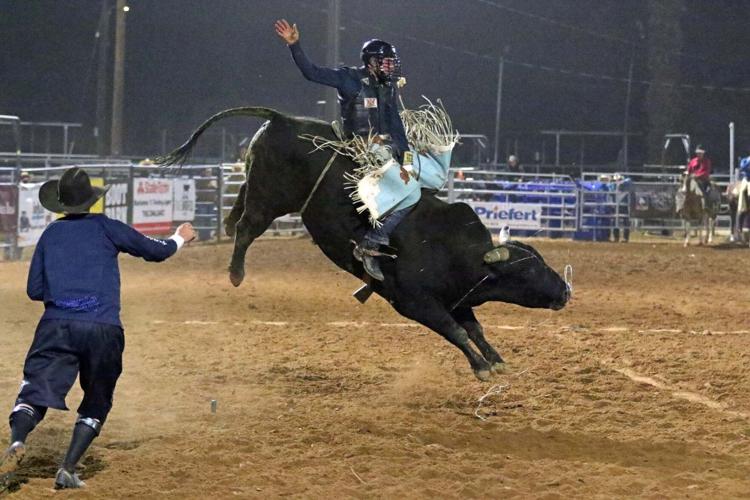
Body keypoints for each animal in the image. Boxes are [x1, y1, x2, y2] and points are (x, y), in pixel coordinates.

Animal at [158, 107, 570, 380]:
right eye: (528, 270)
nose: (566, 290)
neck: (454, 251)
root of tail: (283, 119)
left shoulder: (458, 298)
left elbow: (474, 329)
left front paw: (496, 359)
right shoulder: (414, 303)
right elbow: (453, 330)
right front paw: (482, 367)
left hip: (265, 187)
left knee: (239, 203)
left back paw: (226, 227)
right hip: (271, 196)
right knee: (246, 227)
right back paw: (236, 273)